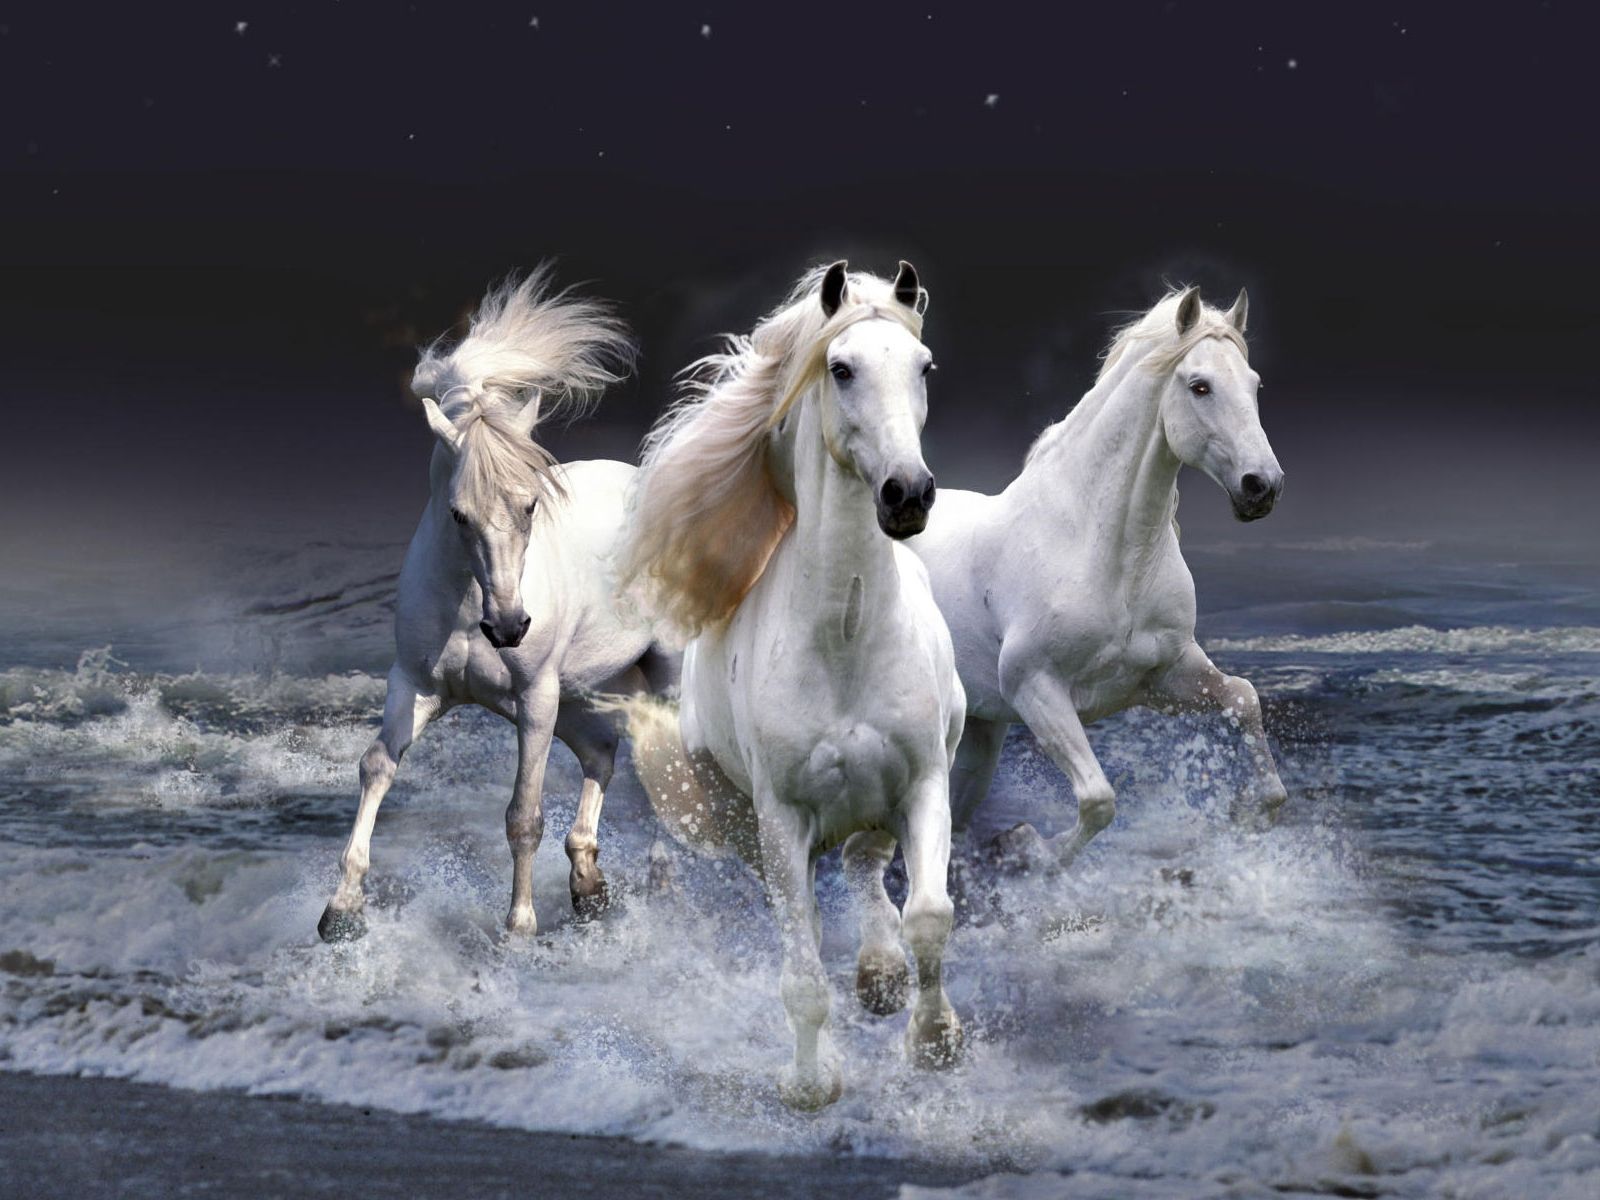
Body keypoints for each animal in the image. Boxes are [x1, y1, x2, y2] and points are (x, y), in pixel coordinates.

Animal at [318, 269, 675, 943]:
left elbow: (523, 814)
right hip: (579, 693)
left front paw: (519, 929)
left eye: (531, 504)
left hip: (654, 678)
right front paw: (340, 911)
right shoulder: (417, 685)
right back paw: (588, 887)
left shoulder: (534, 697)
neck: (467, 605)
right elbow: (376, 766)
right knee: (602, 754)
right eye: (459, 514)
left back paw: (659, 880)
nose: (509, 627)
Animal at [610, 261, 967, 1110]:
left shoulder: (923, 782)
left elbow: (929, 915)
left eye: (924, 367)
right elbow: (802, 971)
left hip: (879, 801)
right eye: (841, 369)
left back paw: (881, 976)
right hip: (744, 823)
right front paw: (811, 1085)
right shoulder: (781, 820)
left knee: (867, 866)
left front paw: (936, 1041)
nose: (908, 494)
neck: (846, 637)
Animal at [908, 285, 1288, 869]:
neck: (1105, 555)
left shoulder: (1163, 677)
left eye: (1254, 384)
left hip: (979, 734)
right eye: (1199, 386)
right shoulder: (1035, 688)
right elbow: (1098, 799)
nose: (1262, 486)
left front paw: (1247, 815)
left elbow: (1244, 699)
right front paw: (1027, 848)